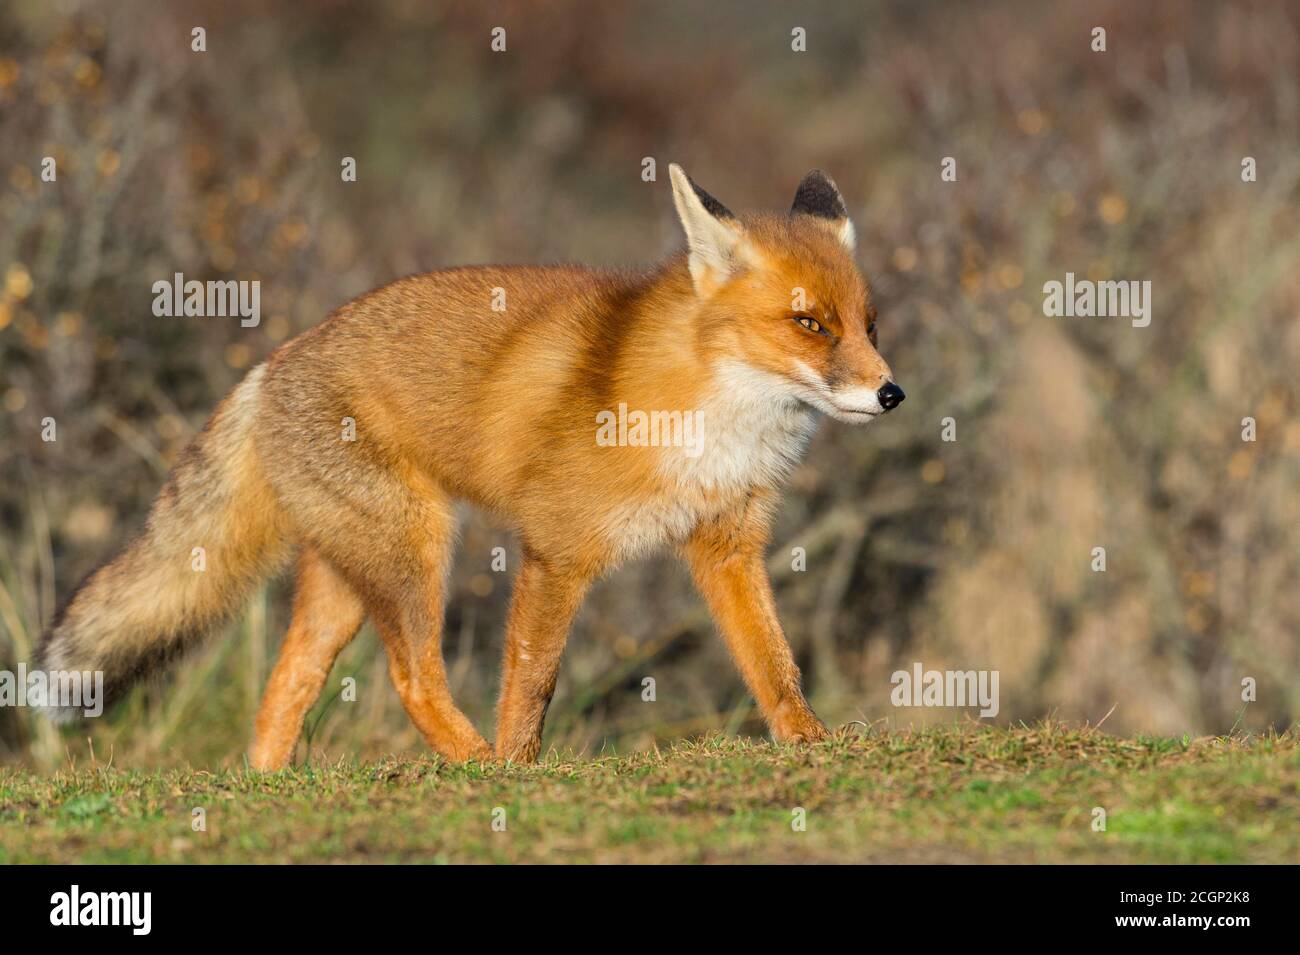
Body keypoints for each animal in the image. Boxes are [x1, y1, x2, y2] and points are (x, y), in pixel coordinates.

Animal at [37, 165, 905, 768]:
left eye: (867, 324)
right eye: (809, 324)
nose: (891, 392)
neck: (709, 416)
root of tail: (274, 362)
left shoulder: (727, 542)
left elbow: (774, 664)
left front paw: (811, 741)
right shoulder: (557, 547)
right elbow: (532, 679)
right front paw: (522, 766)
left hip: (347, 581)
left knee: (284, 687)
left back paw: (266, 786)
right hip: (413, 553)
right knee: (413, 678)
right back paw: (479, 766)